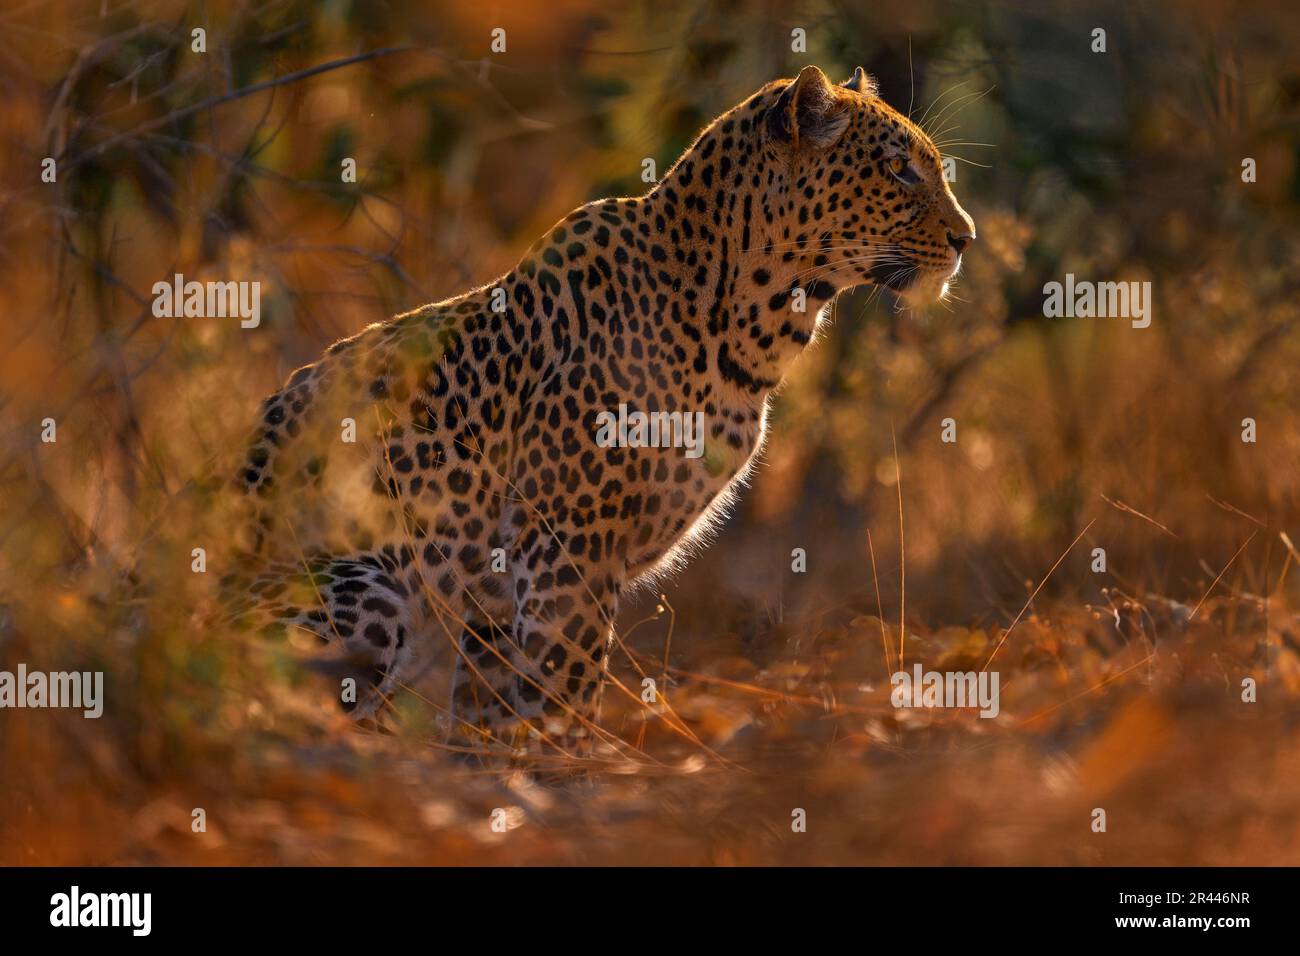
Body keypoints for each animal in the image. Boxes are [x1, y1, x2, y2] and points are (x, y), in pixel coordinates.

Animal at [222, 64, 976, 754]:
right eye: (899, 171)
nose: (967, 238)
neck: (750, 322)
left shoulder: (498, 594)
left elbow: (490, 707)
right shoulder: (568, 543)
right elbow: (565, 682)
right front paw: (566, 771)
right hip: (363, 586)